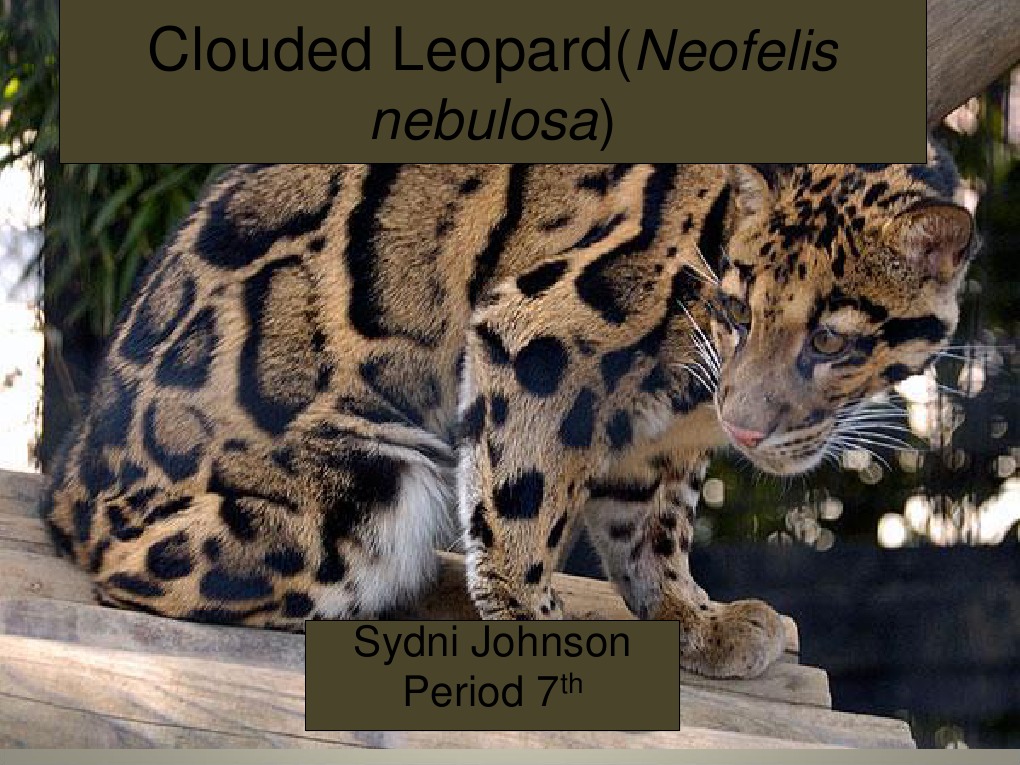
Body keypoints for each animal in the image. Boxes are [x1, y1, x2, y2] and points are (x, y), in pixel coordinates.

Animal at [43, 156, 975, 679]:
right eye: (738, 312)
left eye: (829, 339)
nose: (744, 427)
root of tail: (67, 486)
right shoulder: (536, 330)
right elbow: (524, 501)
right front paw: (535, 624)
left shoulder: (666, 440)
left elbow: (653, 526)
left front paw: (690, 619)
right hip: (369, 485)